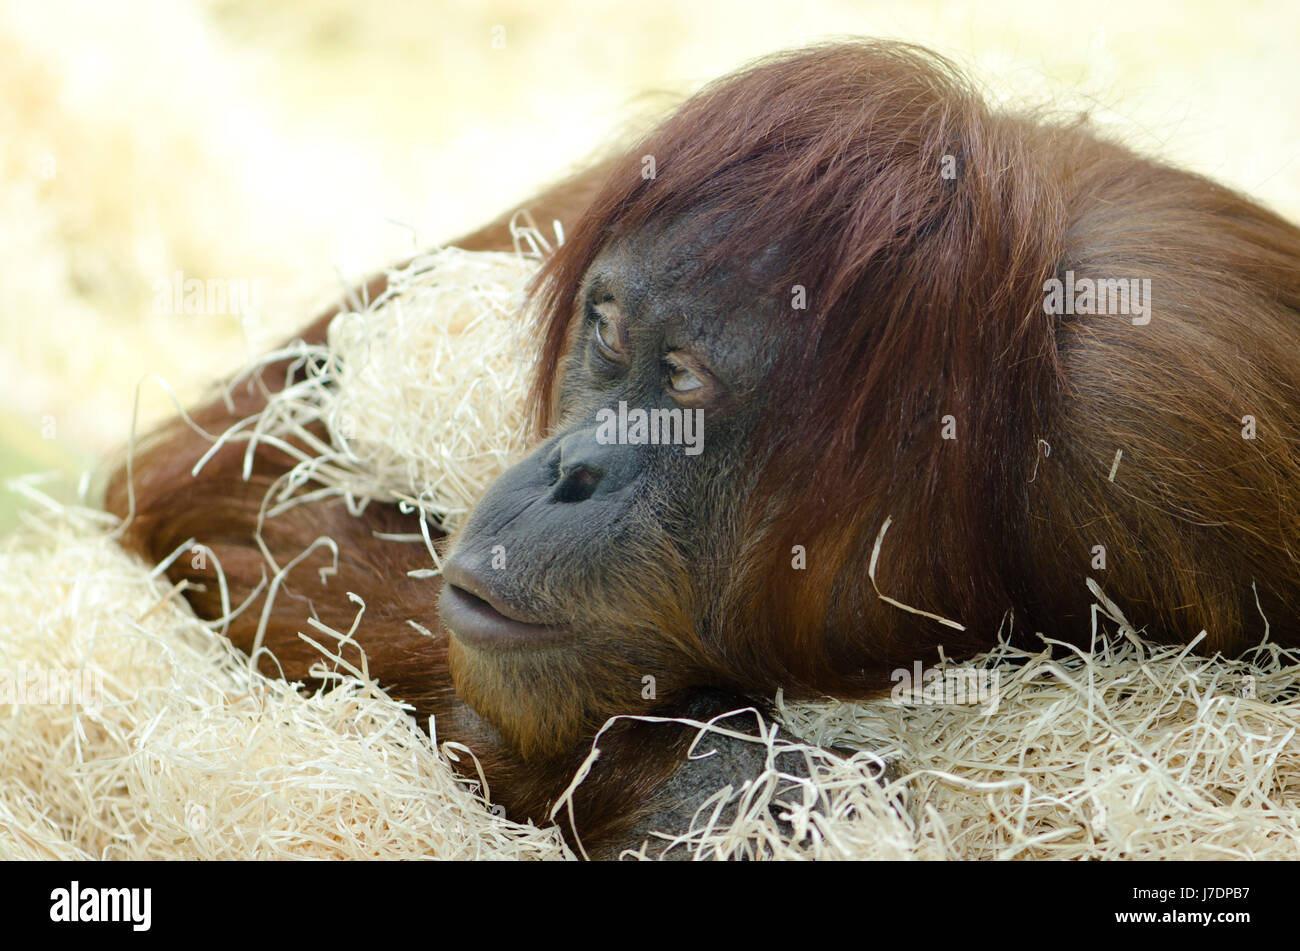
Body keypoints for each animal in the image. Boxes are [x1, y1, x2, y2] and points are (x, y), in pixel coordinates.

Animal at [105, 40, 1300, 857]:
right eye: (607, 334)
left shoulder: (1176, 413)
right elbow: (249, 461)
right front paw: (716, 778)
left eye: (681, 383)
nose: (566, 475)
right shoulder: (602, 194)